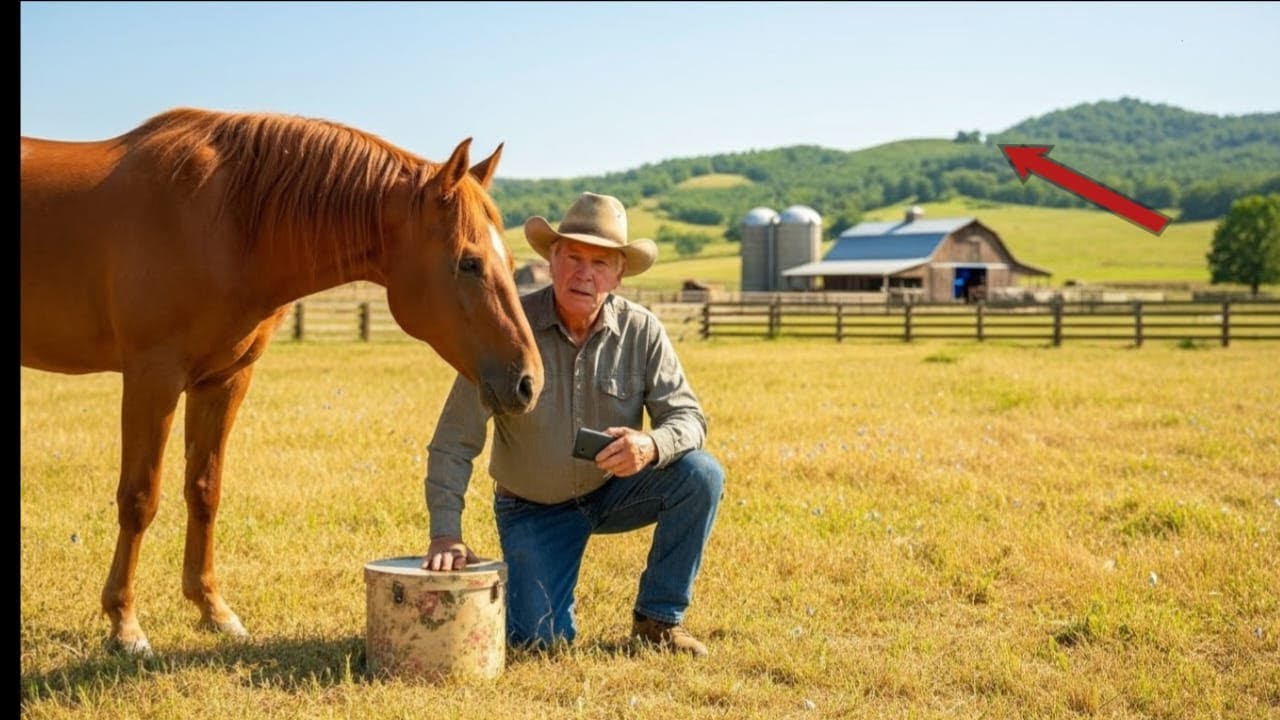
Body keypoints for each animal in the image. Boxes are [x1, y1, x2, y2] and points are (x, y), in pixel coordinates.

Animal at [20, 107, 545, 656]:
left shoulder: (224, 381)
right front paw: (124, 624)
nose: (529, 382)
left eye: (511, 262)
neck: (217, 217)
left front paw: (213, 610)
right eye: (469, 261)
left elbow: (204, 491)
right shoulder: (152, 378)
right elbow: (140, 497)